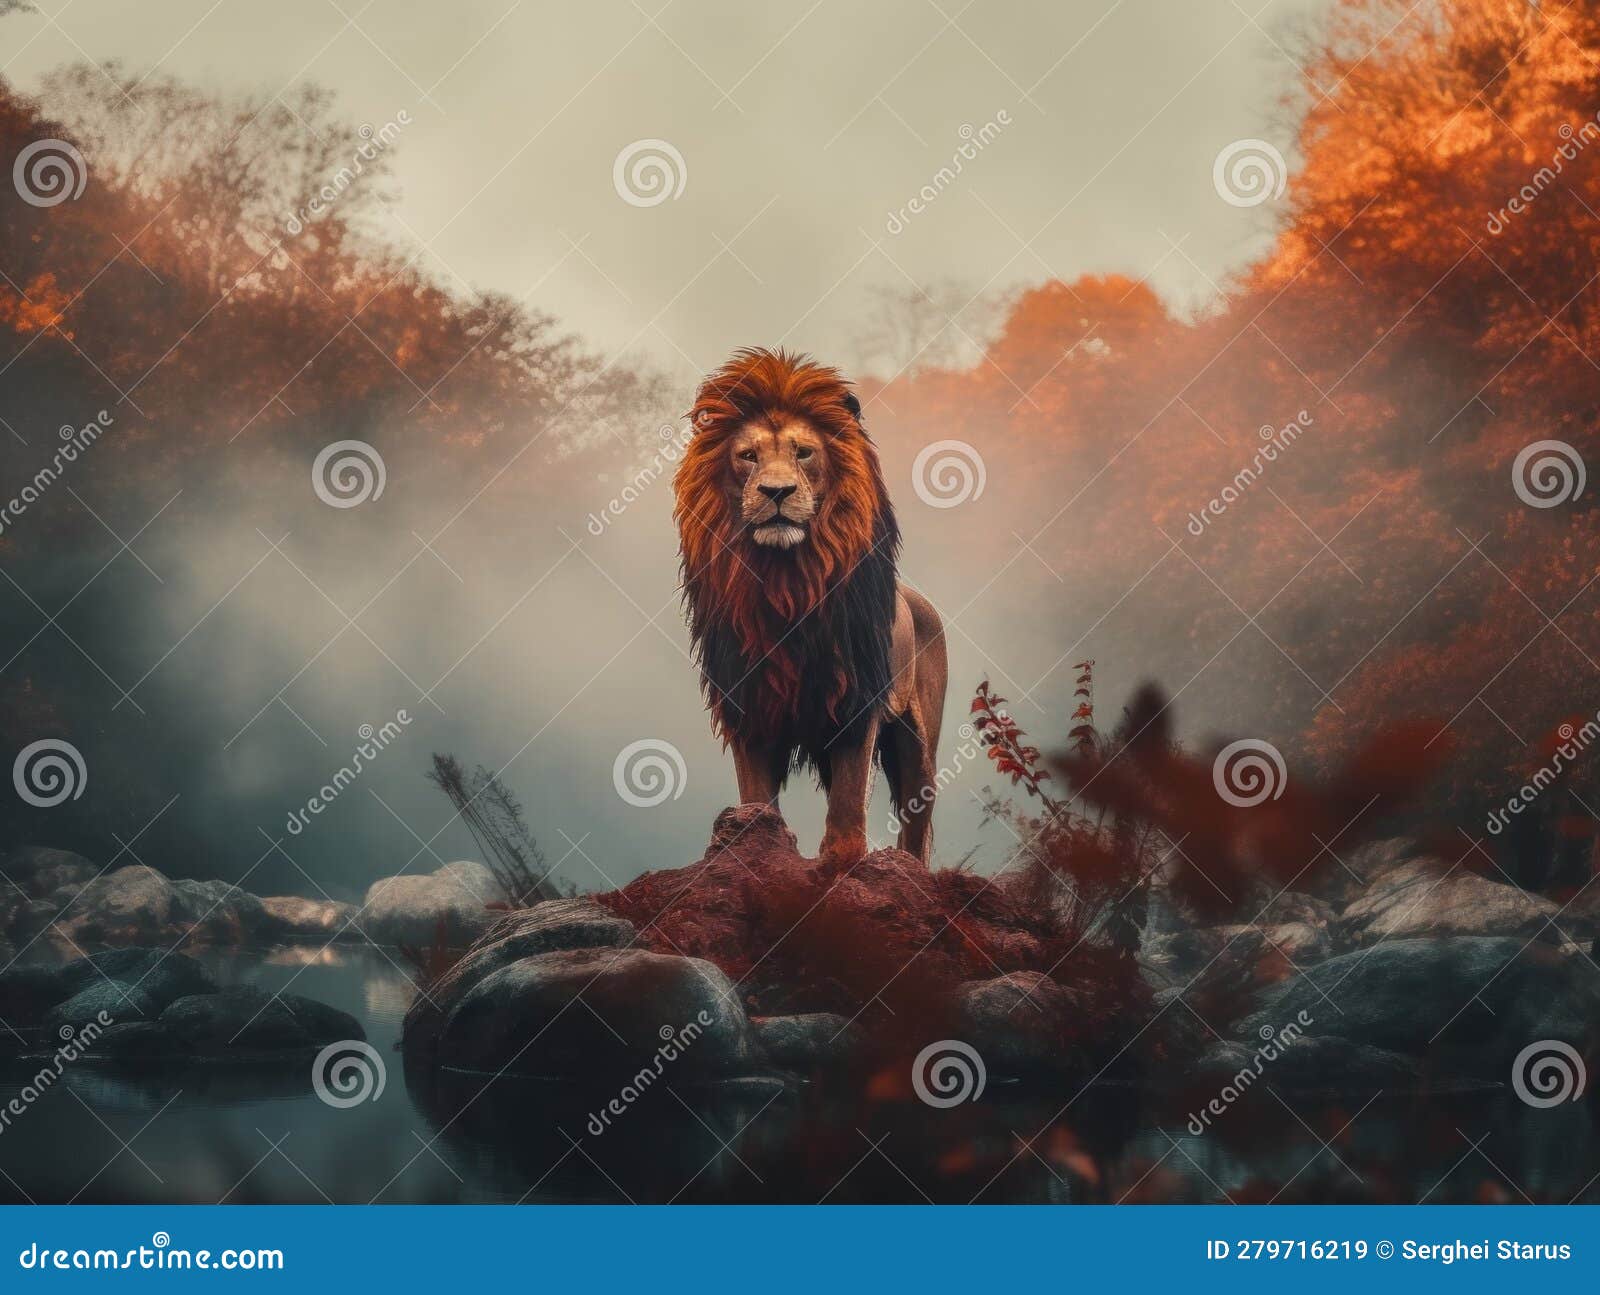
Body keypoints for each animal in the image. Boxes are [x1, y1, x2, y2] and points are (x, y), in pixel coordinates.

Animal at [674, 347, 948, 870]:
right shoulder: (747, 701)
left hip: (919, 740)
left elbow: (848, 798)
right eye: (748, 456)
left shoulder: (857, 702)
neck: (787, 582)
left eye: (803, 451)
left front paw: (843, 862)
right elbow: (755, 793)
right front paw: (752, 847)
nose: (776, 492)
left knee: (918, 819)